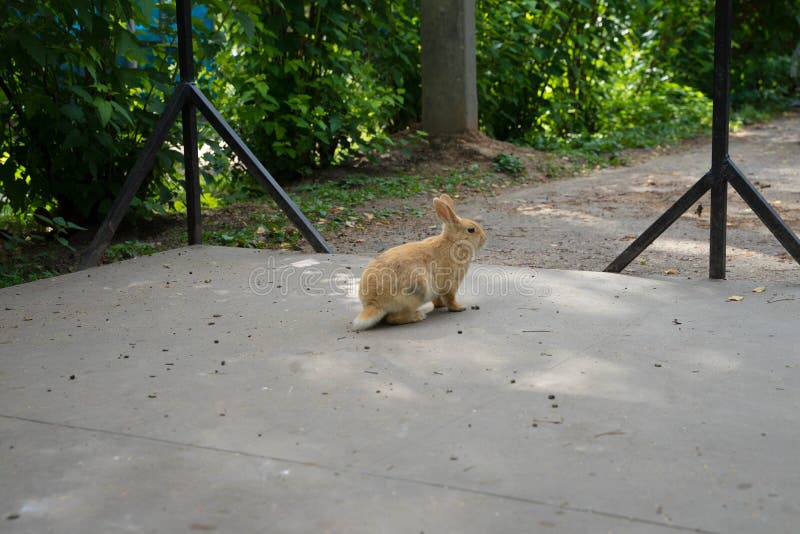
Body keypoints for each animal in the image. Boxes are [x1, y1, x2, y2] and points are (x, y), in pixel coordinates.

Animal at [352, 193, 487, 330]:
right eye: (471, 230)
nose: (484, 238)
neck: (454, 243)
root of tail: (373, 304)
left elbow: (437, 299)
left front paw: (440, 305)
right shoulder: (450, 283)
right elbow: (450, 298)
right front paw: (459, 307)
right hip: (417, 289)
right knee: (392, 319)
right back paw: (418, 316)